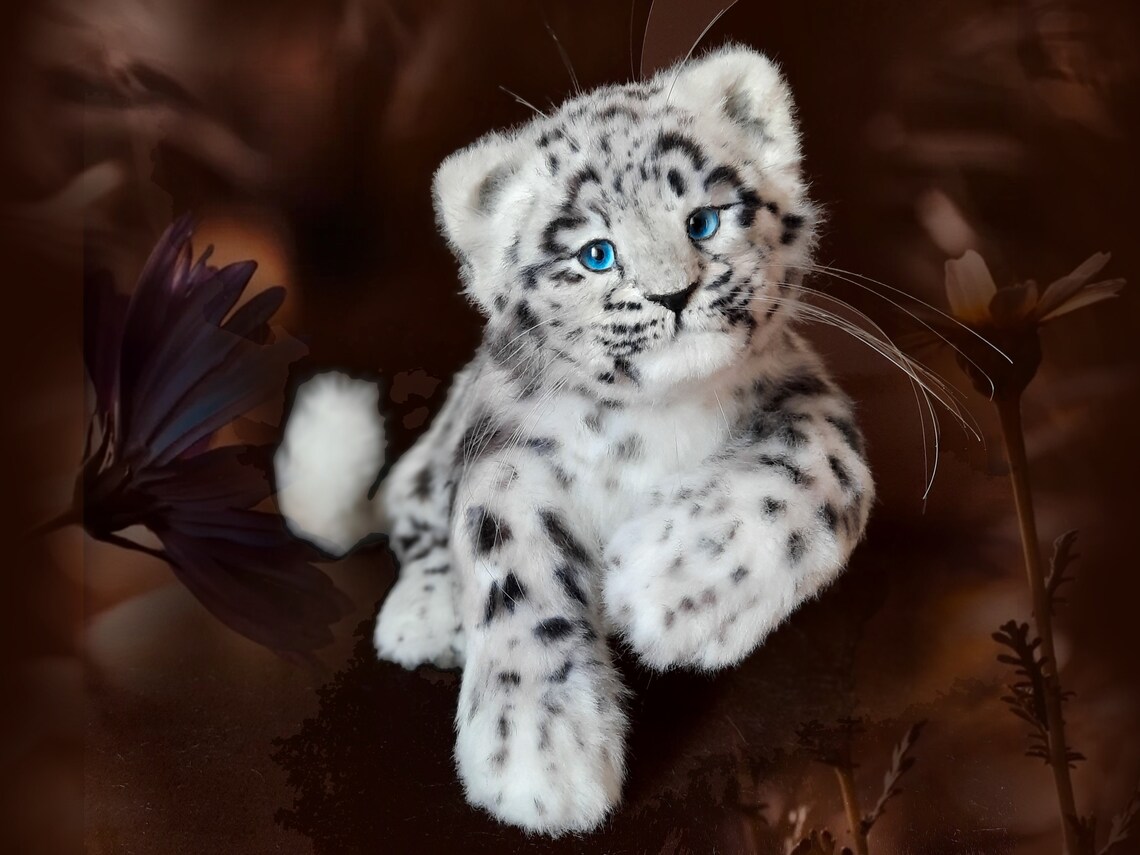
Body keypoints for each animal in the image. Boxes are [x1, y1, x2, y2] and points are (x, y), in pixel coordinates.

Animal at [275, 44, 873, 836]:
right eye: (596, 254)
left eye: (704, 219)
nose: (674, 294)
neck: (663, 418)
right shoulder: (510, 458)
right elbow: (515, 571)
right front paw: (538, 757)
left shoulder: (808, 399)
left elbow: (819, 475)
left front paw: (668, 589)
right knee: (410, 512)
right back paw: (423, 616)